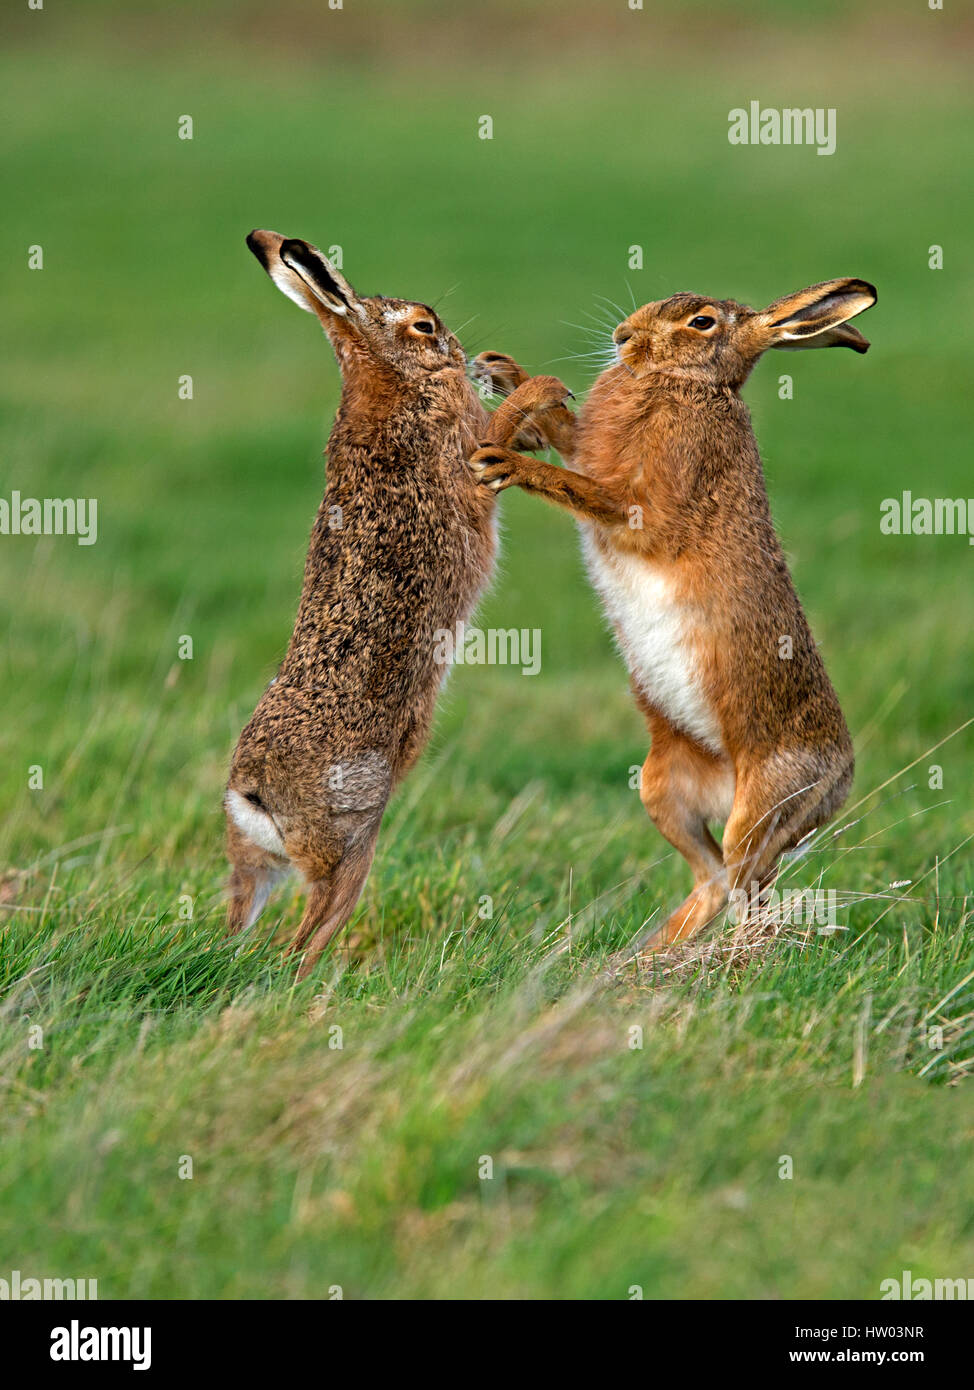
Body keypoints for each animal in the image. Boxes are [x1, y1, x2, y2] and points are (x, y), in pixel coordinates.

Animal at [225, 229, 569, 977]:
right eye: (423, 327)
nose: (462, 350)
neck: (390, 377)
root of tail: (251, 789)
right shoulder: (471, 460)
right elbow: (497, 432)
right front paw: (541, 389)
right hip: (352, 842)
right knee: (309, 931)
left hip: (255, 862)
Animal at [468, 278, 877, 951]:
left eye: (702, 322)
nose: (622, 338)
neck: (689, 385)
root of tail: (842, 777)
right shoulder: (589, 450)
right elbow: (568, 438)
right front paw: (506, 373)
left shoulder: (645, 502)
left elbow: (585, 490)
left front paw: (509, 465)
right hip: (662, 787)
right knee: (712, 880)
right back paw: (645, 958)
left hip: (764, 806)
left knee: (748, 887)